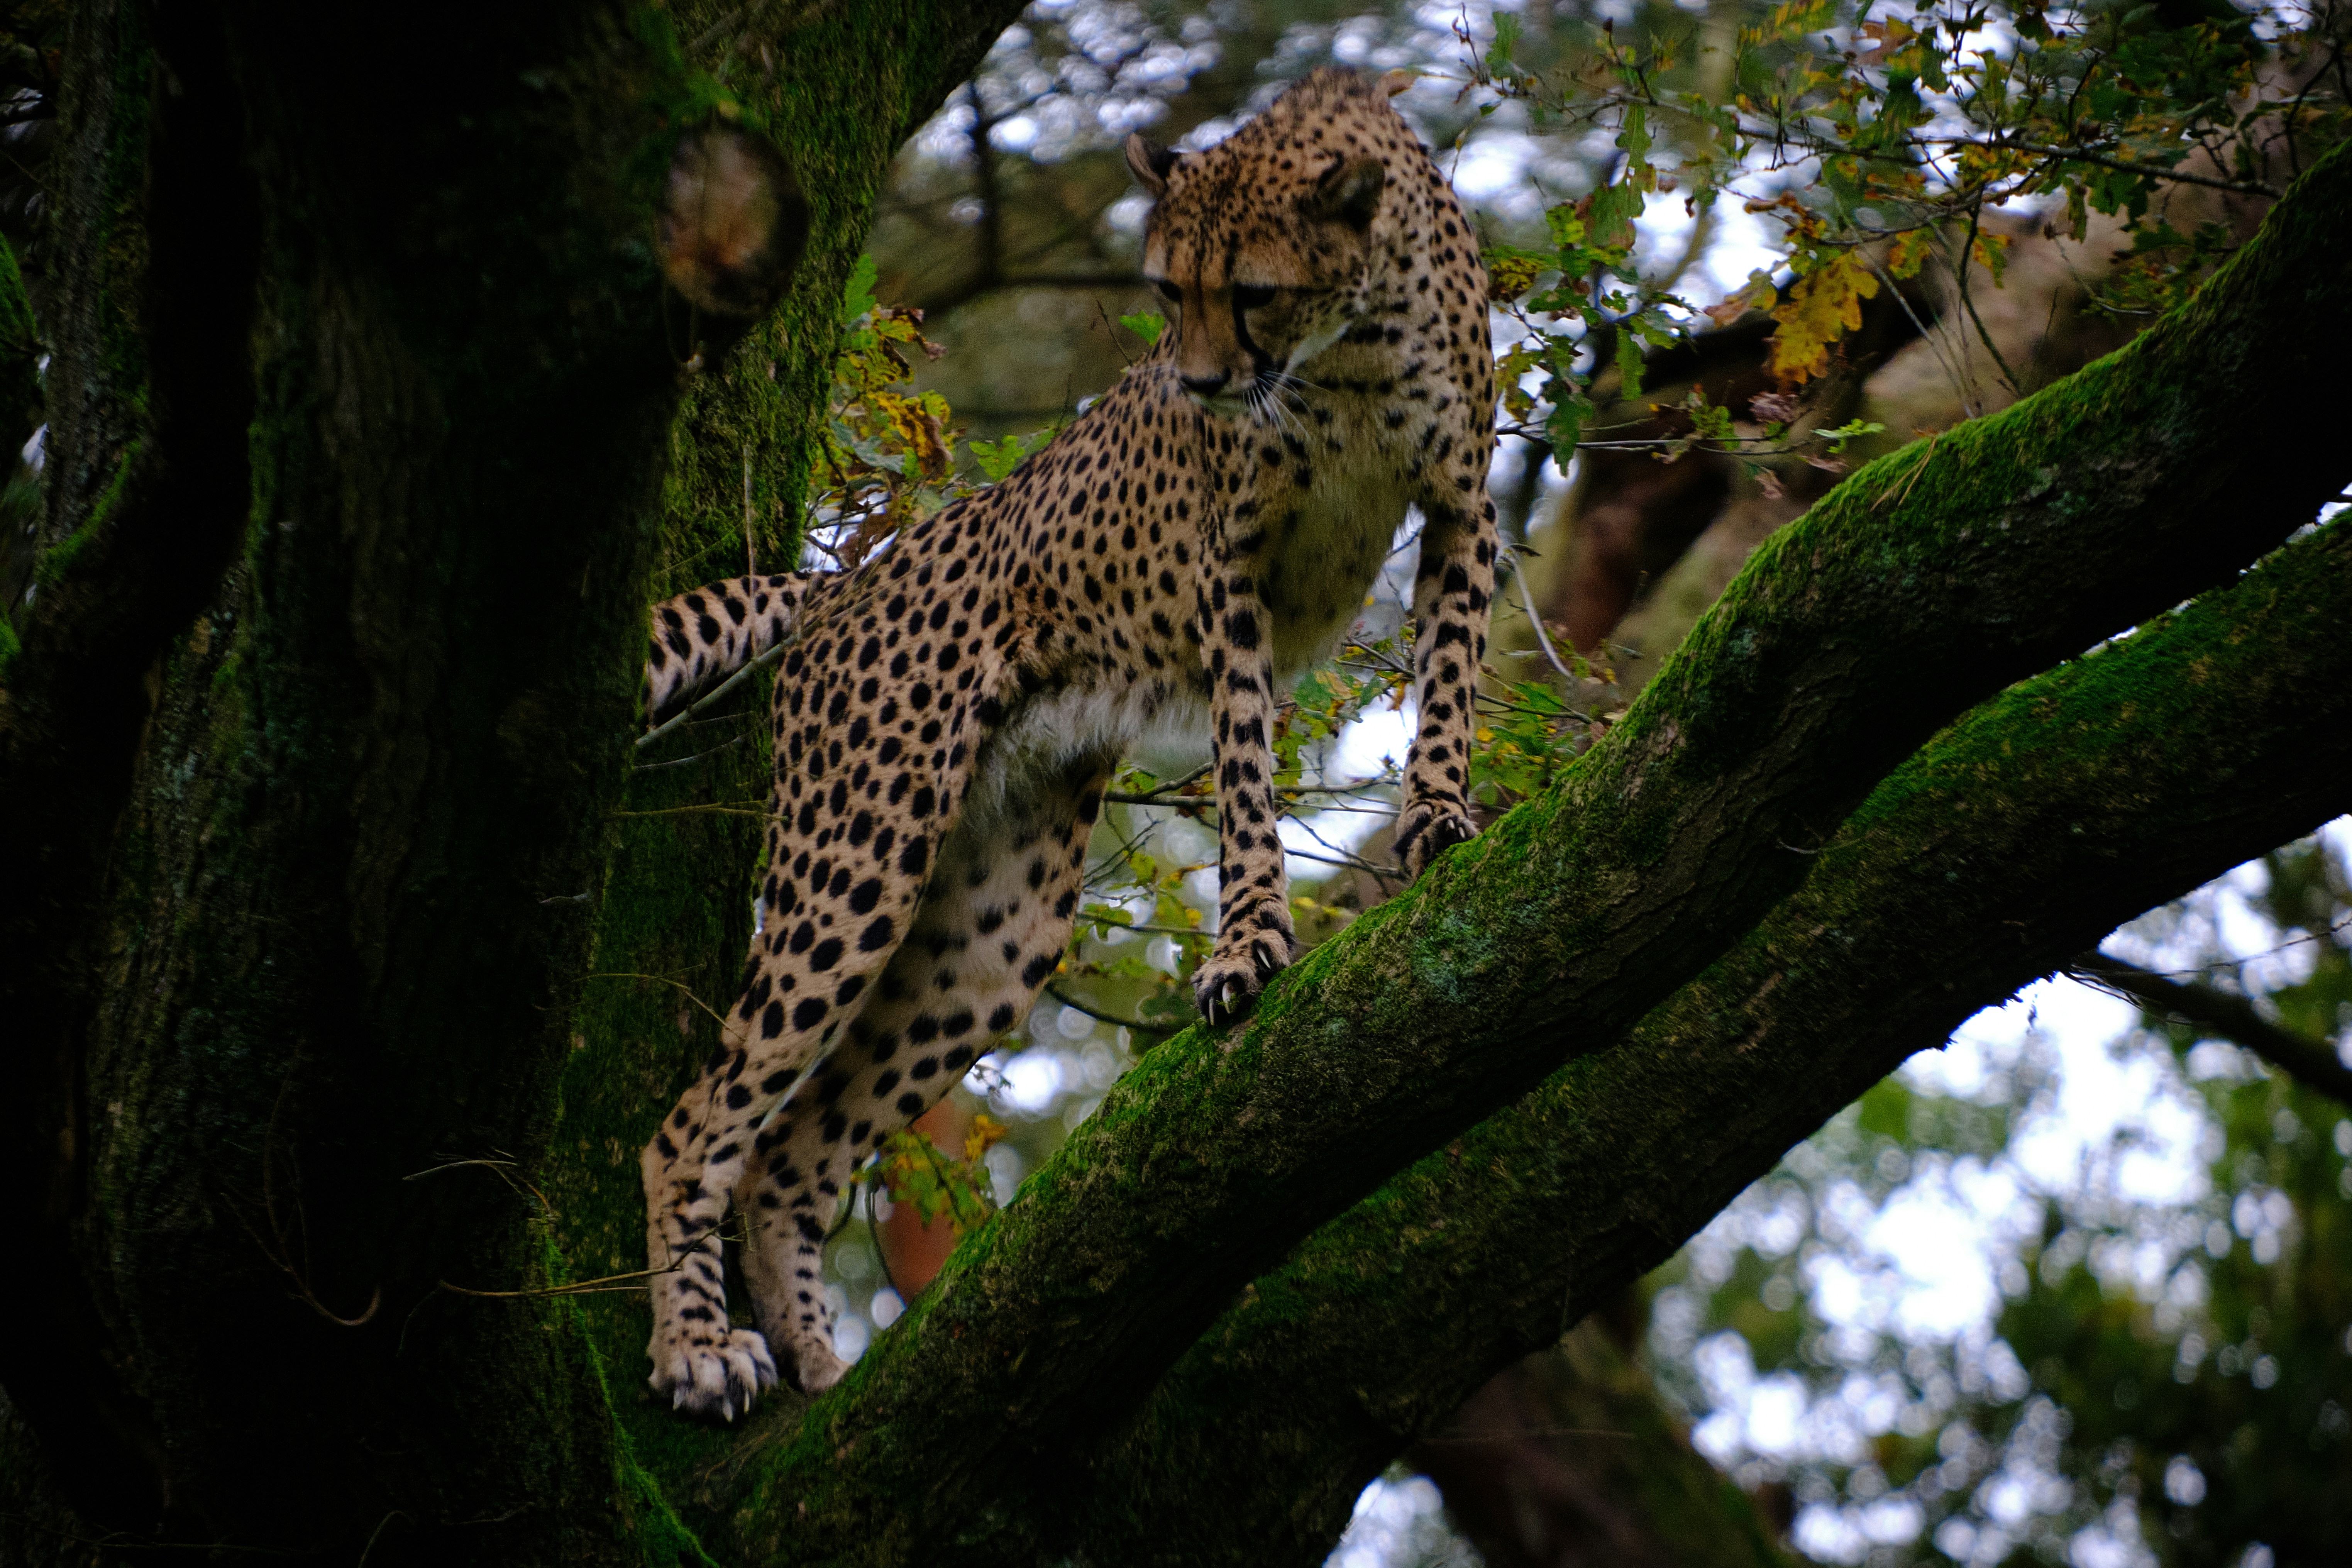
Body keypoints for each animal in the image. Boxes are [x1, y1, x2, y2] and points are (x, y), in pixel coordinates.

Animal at [635, 66, 1498, 1417]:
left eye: (1252, 292)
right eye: (1164, 291)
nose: (1196, 384)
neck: (1349, 341)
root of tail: (850, 579)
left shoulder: (1459, 503)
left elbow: (1450, 678)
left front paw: (1442, 817)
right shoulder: (1228, 567)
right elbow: (1245, 773)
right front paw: (1248, 946)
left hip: (995, 929)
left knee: (790, 1151)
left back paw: (822, 1370)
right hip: (863, 851)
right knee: (691, 1126)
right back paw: (695, 1348)